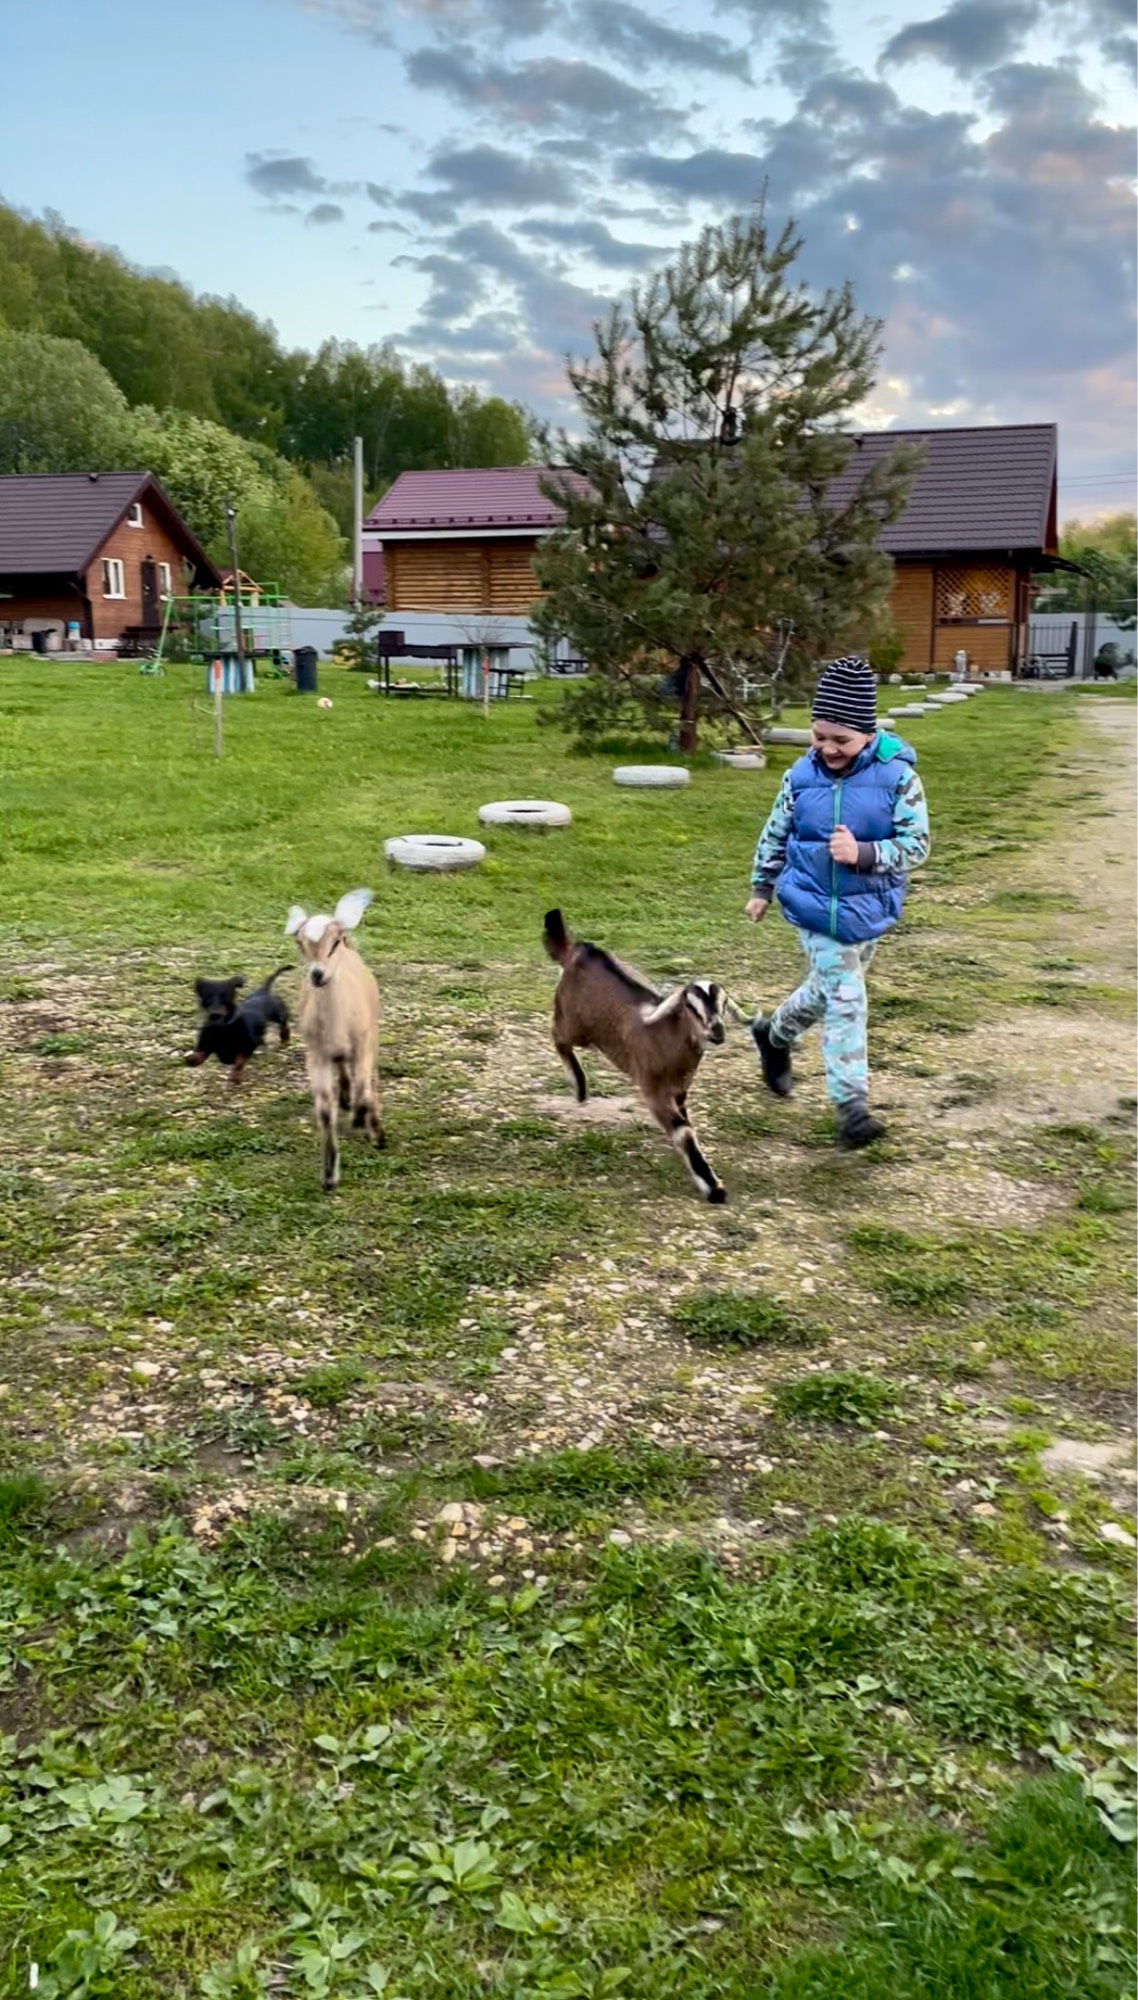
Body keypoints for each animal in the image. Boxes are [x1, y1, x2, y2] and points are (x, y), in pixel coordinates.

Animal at [286, 888, 384, 1184]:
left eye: (334, 942)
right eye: (299, 943)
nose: (318, 975)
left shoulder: (363, 1044)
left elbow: (364, 1088)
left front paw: (361, 1122)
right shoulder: (316, 1054)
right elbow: (324, 1111)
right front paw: (329, 1174)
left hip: (372, 1037)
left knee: (371, 1080)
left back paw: (375, 1129)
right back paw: (344, 1097)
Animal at [544, 908, 728, 1200]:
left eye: (724, 1004)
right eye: (691, 1007)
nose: (717, 1032)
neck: (666, 1037)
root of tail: (578, 951)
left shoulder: (680, 1089)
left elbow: (685, 1123)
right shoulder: (653, 1088)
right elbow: (683, 1131)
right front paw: (713, 1188)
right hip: (575, 1024)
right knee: (557, 1035)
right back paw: (580, 1086)